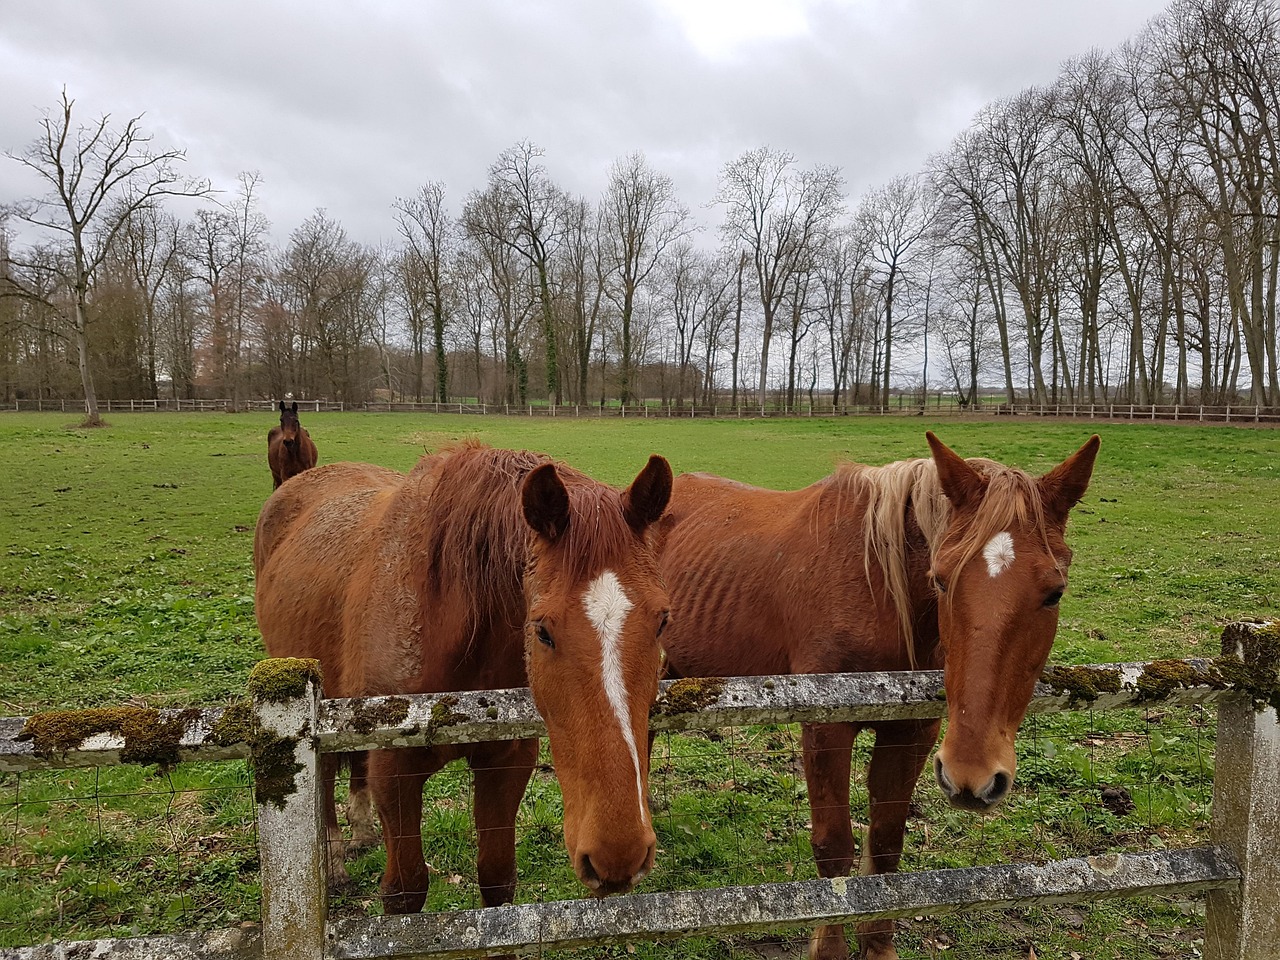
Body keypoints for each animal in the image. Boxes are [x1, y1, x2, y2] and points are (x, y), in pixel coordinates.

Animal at [254, 441, 673, 913]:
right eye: (542, 630)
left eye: (662, 619)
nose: (619, 851)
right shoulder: (394, 772)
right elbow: (405, 891)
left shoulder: (506, 762)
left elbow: (497, 880)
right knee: (323, 776)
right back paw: (335, 863)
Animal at [655, 432, 1099, 960]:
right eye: (941, 579)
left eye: (1055, 592)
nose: (973, 775)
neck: (880, 590)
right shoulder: (825, 728)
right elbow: (834, 848)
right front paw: (828, 948)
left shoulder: (912, 731)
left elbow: (886, 842)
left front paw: (877, 944)